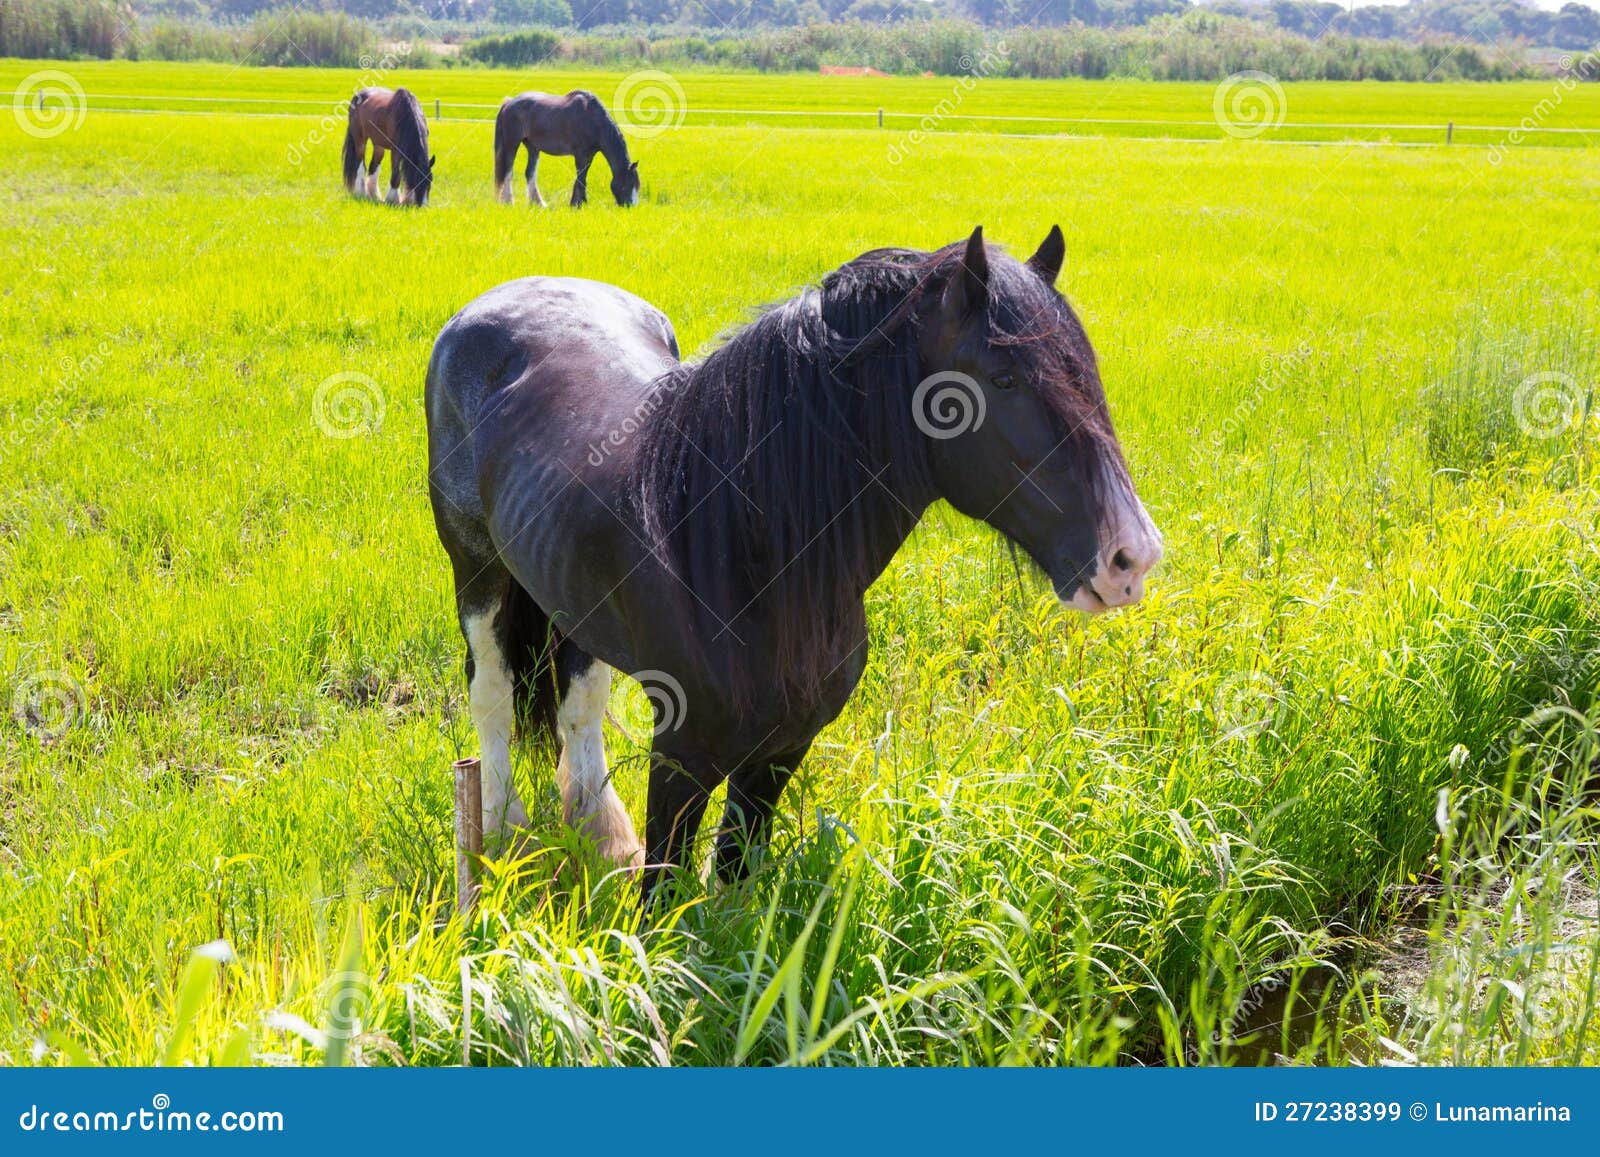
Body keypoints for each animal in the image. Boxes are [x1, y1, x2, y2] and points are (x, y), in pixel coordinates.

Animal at [425, 227, 1163, 901]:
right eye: (1004, 378)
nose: (1133, 556)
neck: (743, 554)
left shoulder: (781, 750)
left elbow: (730, 888)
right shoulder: (682, 754)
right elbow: (665, 901)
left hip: (565, 588)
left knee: (579, 701)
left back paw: (599, 840)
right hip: (476, 571)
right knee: (492, 693)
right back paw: (501, 839)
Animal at [492, 90, 640, 208]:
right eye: (628, 184)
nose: (630, 207)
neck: (594, 121)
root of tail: (509, 102)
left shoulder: (589, 156)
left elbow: (582, 178)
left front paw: (580, 202)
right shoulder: (581, 155)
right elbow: (581, 179)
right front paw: (577, 204)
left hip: (532, 147)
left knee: (530, 173)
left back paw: (539, 203)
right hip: (512, 143)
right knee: (508, 171)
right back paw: (508, 202)